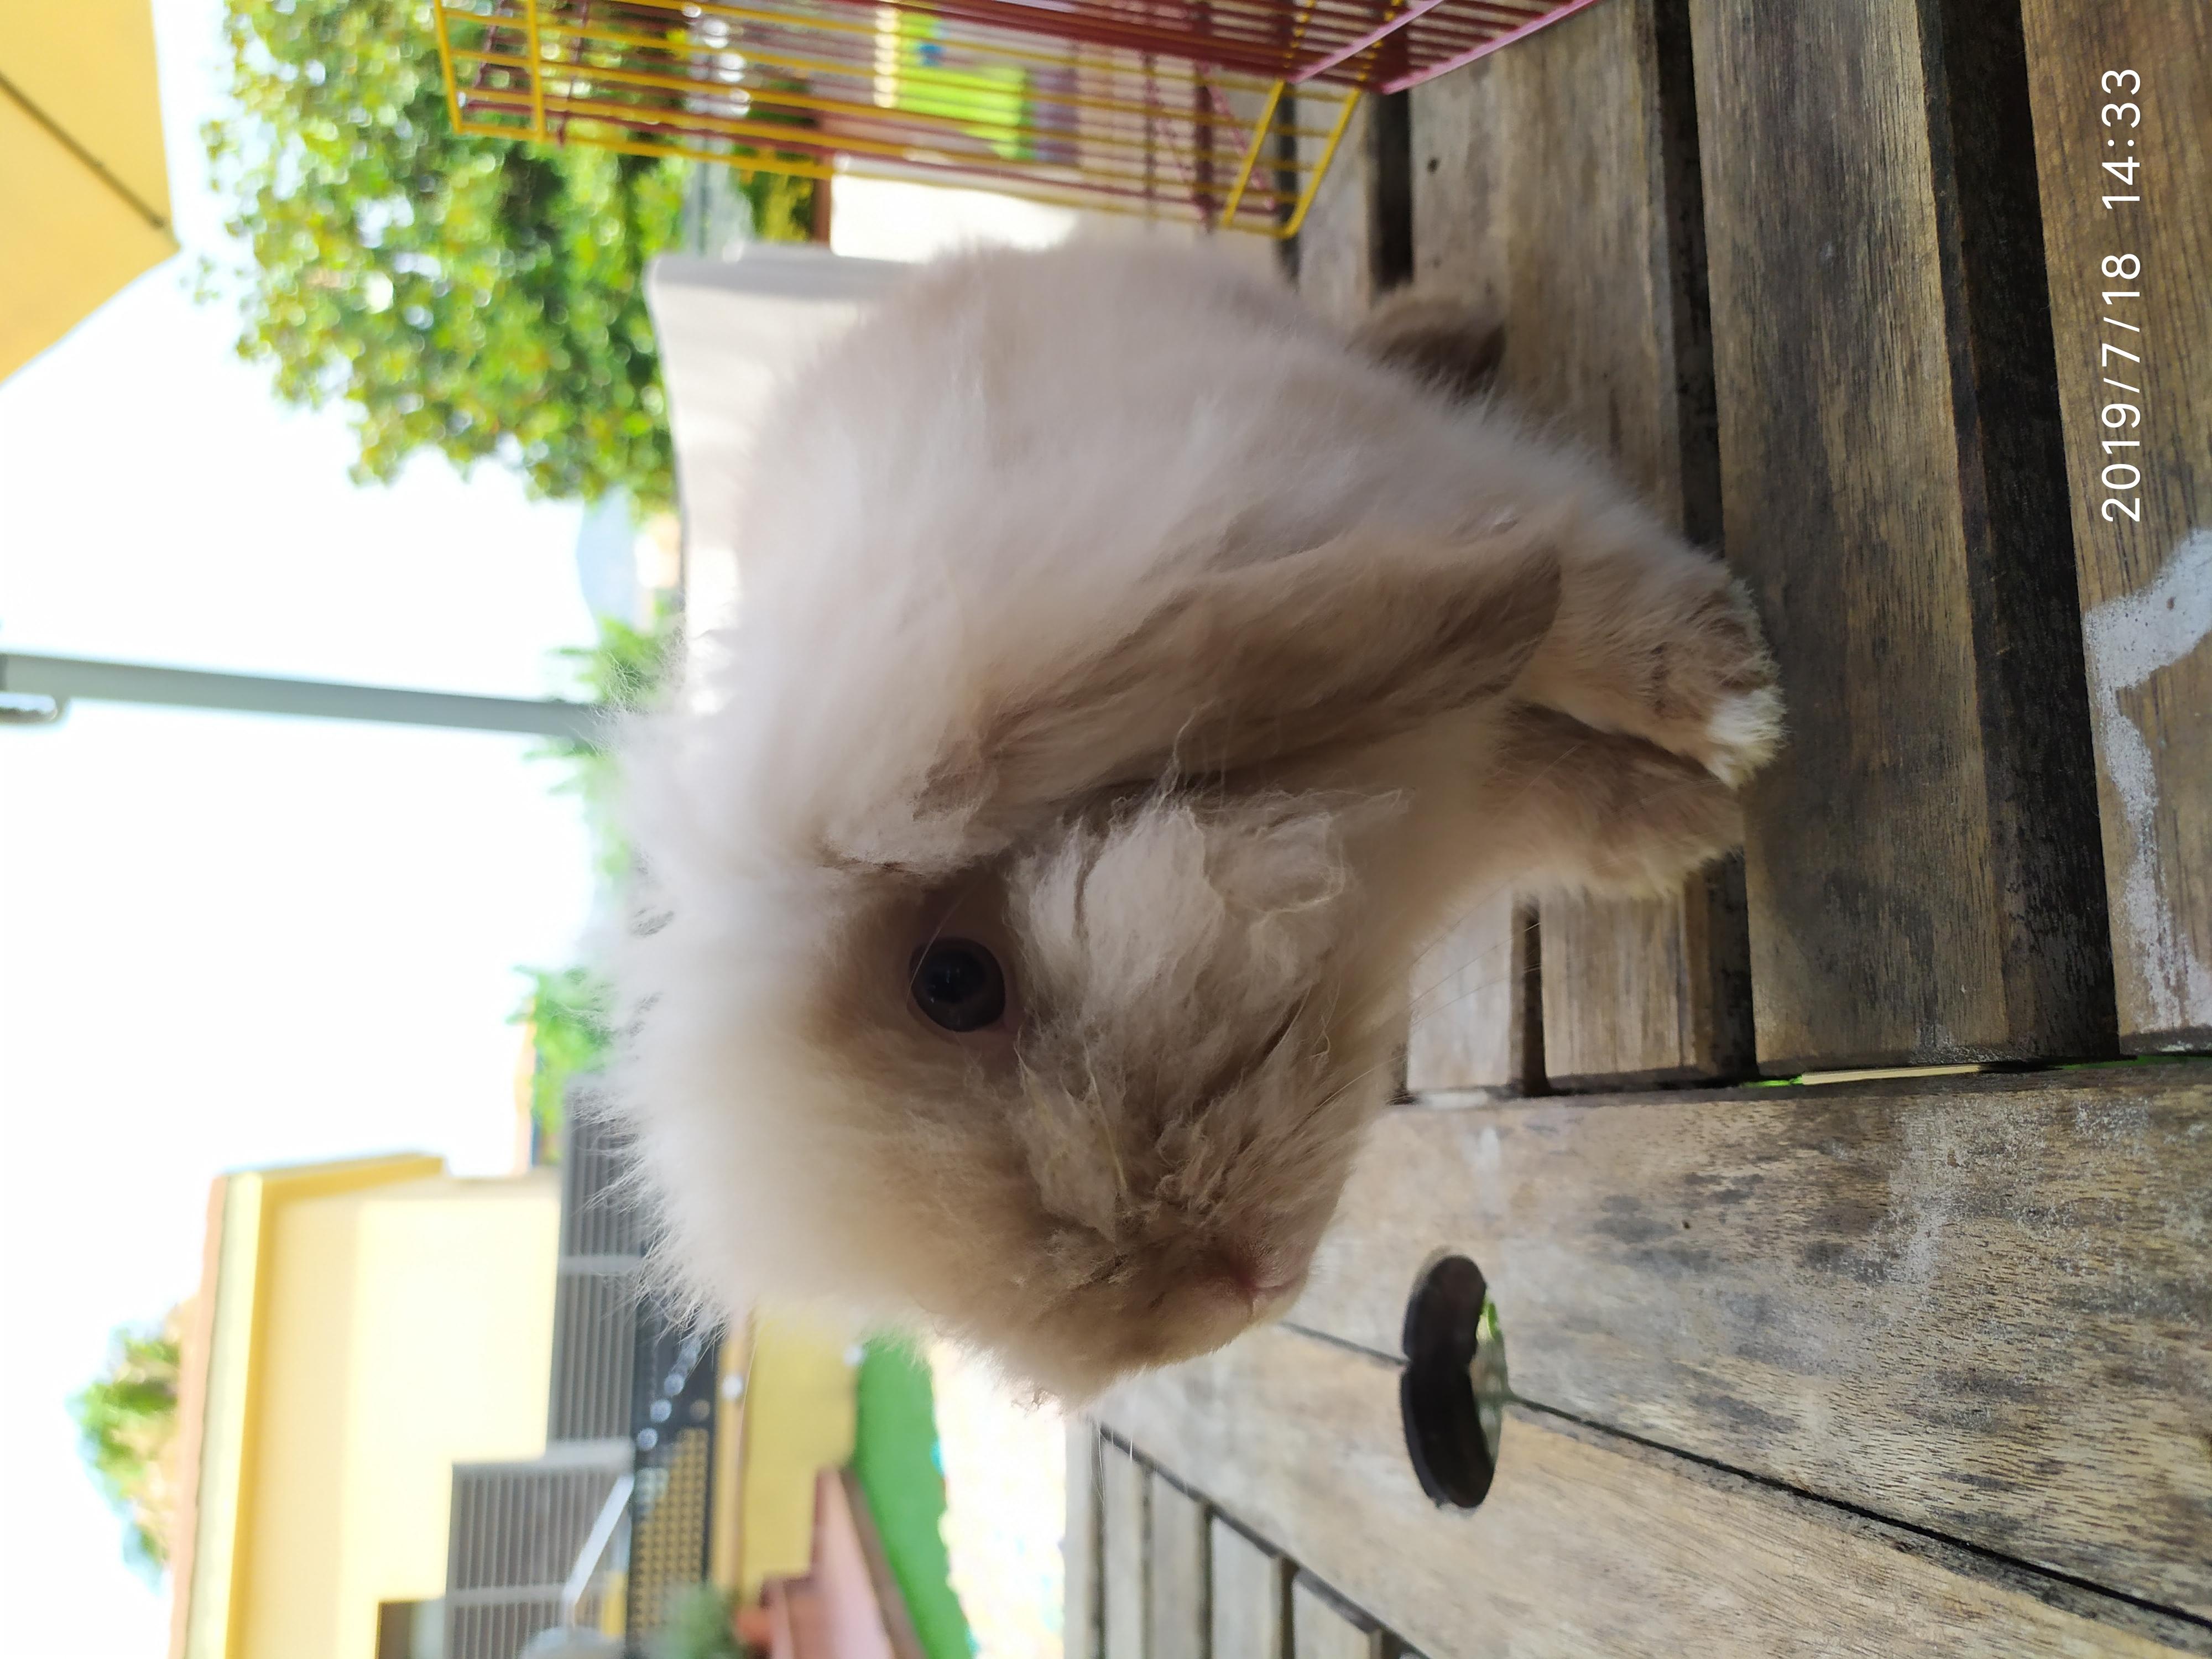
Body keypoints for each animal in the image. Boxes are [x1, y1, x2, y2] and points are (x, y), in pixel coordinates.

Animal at [611, 240, 1781, 1402]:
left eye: (953, 980)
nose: (1221, 1304)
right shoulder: (1468, 780)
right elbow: (1566, 791)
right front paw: (1693, 824)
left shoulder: (1413, 481)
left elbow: (1577, 591)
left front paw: (1733, 700)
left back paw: (1459, 316)